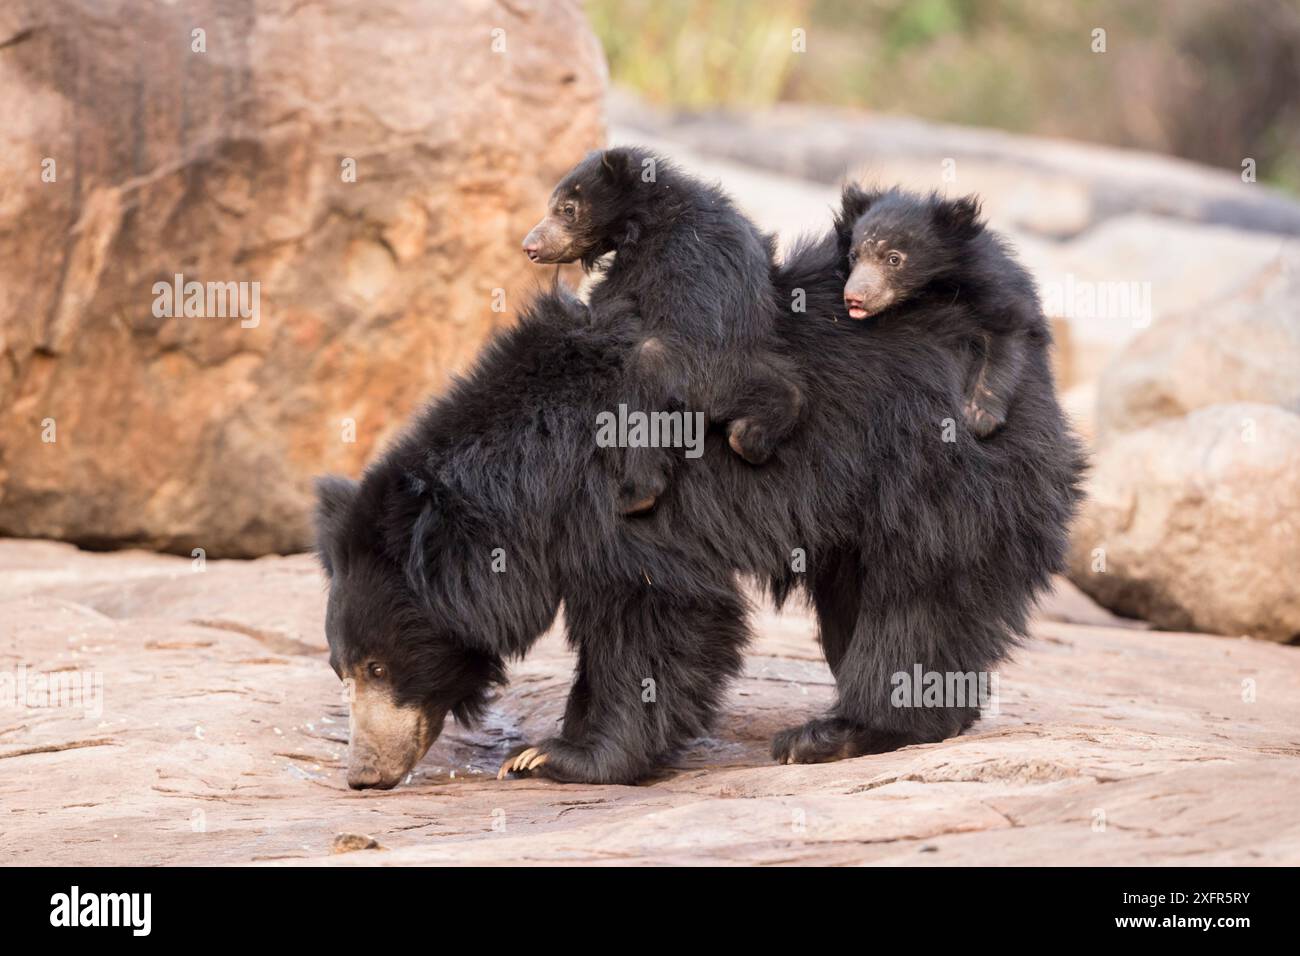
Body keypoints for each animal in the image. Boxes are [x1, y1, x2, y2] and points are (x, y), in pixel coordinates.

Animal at [521, 146, 804, 513]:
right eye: (552, 207)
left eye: (567, 210)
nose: (529, 247)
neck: (652, 203)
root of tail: (713, 402)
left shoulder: (642, 261)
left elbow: (609, 298)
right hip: (747, 365)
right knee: (788, 392)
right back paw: (748, 438)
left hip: (671, 365)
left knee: (645, 396)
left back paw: (635, 495)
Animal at [839, 186, 1047, 438]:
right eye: (853, 256)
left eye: (894, 258)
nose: (854, 298)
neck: (937, 282)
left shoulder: (994, 289)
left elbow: (1004, 339)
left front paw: (979, 418)